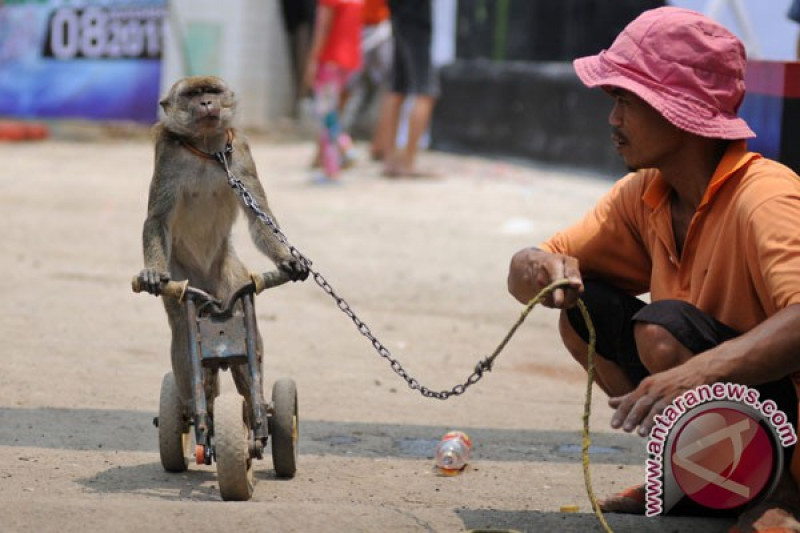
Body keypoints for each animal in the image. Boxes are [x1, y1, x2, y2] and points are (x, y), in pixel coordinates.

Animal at [136, 75, 308, 414]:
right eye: (193, 94)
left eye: (211, 91)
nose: (206, 103)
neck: (205, 147)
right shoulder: (168, 157)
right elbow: (157, 220)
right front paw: (151, 273)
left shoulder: (239, 154)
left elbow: (259, 216)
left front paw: (287, 259)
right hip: (182, 281)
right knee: (183, 330)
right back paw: (195, 404)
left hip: (229, 277)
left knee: (243, 320)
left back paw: (254, 402)